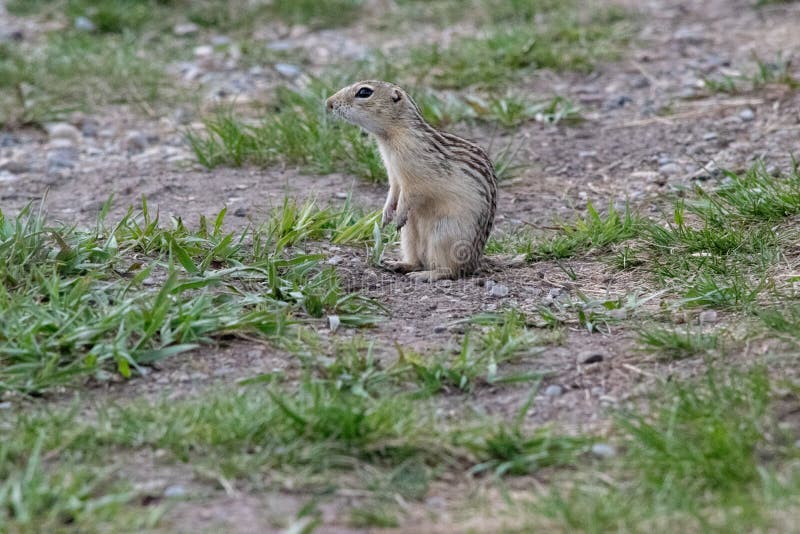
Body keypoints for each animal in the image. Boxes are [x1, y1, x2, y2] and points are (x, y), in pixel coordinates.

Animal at [326, 80, 497, 282]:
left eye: (364, 92)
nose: (329, 103)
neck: (391, 136)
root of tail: (475, 262)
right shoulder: (394, 175)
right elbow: (393, 192)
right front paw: (386, 216)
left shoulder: (415, 180)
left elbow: (409, 196)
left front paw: (398, 216)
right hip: (409, 237)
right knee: (418, 261)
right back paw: (397, 264)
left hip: (445, 236)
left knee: (452, 271)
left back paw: (425, 275)